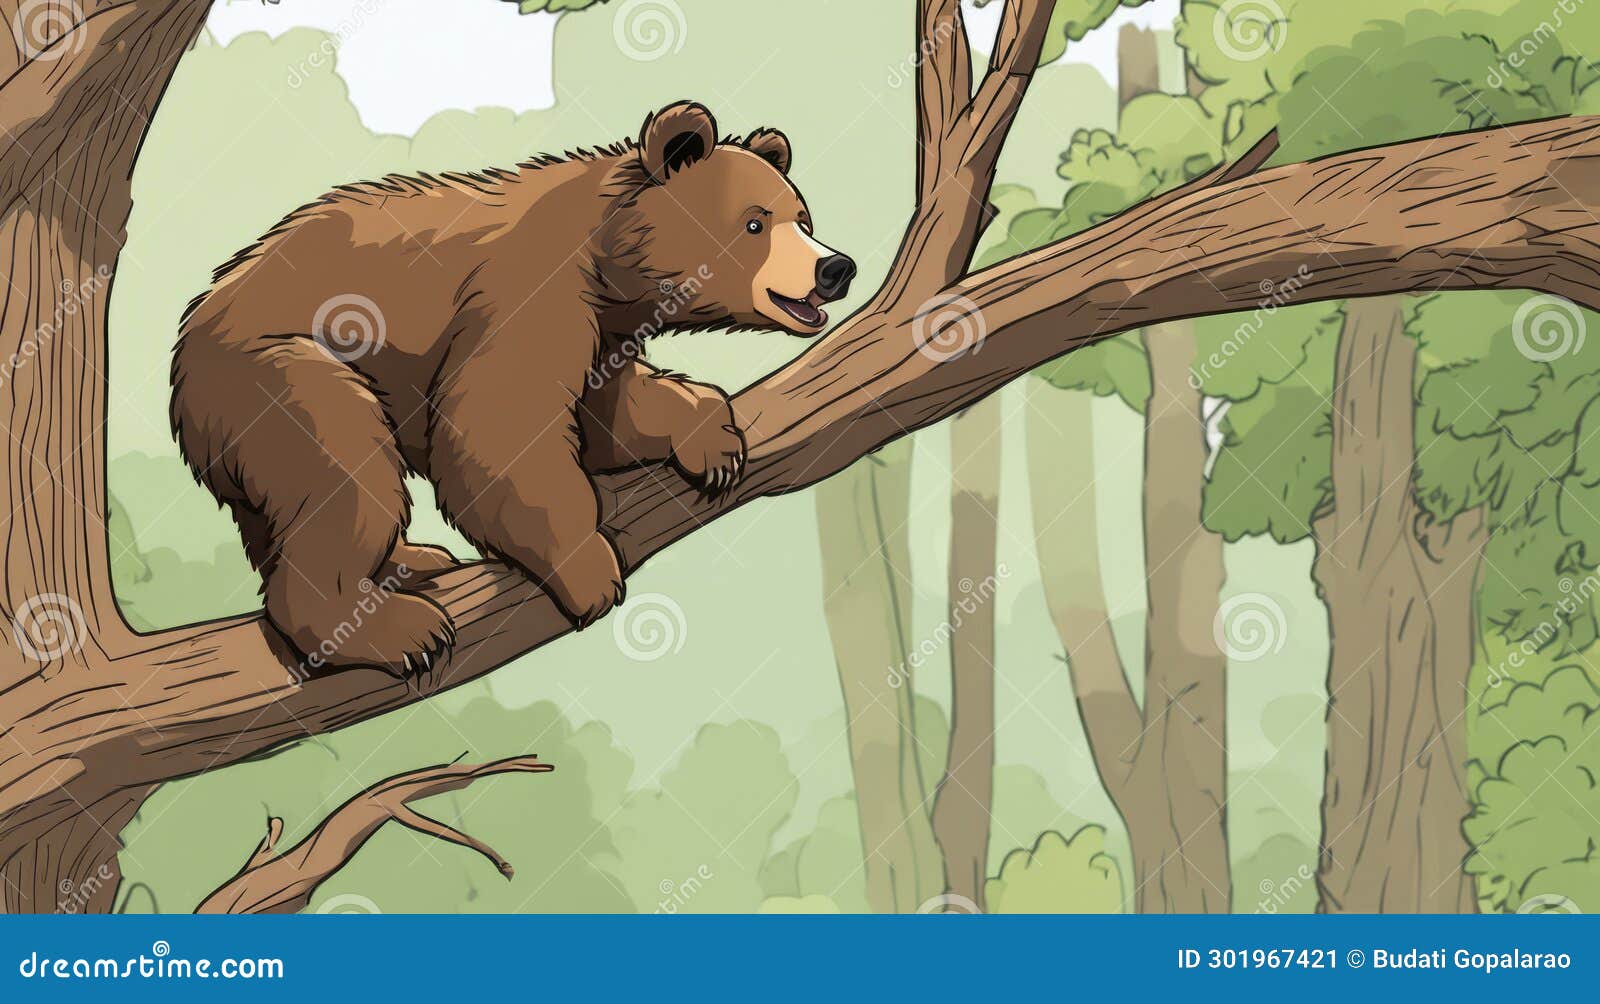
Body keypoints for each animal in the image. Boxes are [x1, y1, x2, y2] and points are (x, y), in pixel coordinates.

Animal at [170, 101, 855, 676]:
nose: (836, 267)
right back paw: (392, 628)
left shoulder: (602, 328)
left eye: (803, 218)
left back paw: (409, 564)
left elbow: (608, 410)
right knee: (346, 472)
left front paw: (711, 438)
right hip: (275, 376)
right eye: (755, 223)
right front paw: (586, 566)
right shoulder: (529, 292)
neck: (606, 256)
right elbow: (499, 427)